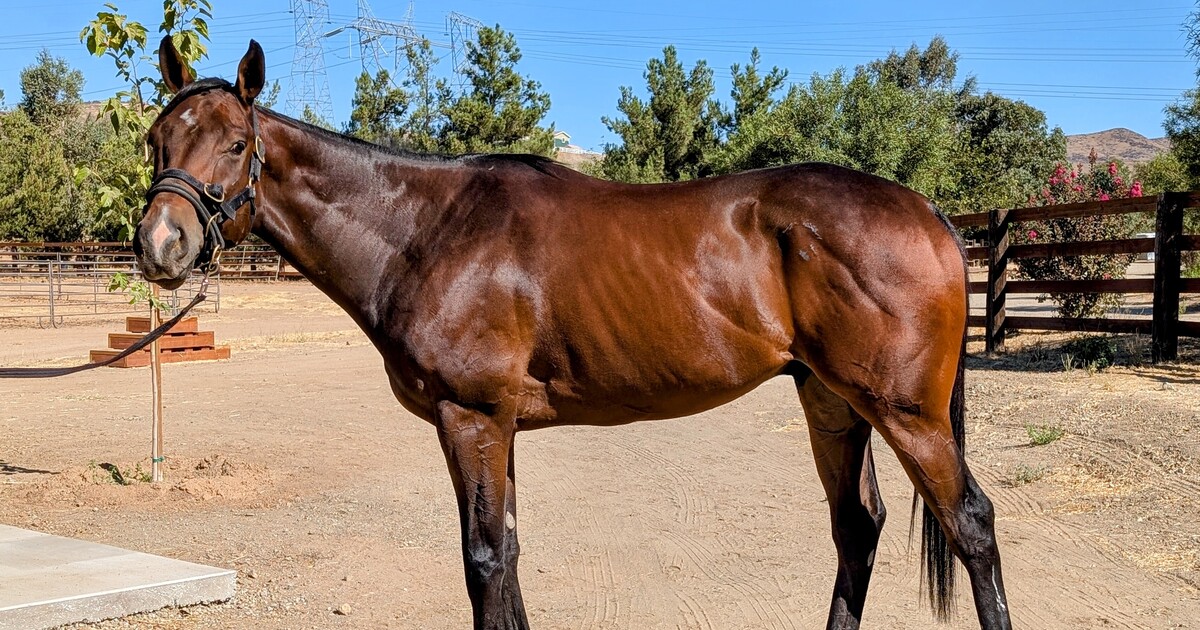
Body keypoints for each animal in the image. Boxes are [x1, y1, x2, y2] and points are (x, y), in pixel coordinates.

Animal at [134, 37, 1012, 630]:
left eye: (237, 143)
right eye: (156, 141)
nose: (159, 246)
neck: (425, 229)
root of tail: (928, 212)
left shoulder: (472, 418)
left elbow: (484, 560)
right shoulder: (498, 425)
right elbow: (510, 555)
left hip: (905, 412)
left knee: (971, 523)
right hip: (832, 403)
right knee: (856, 528)